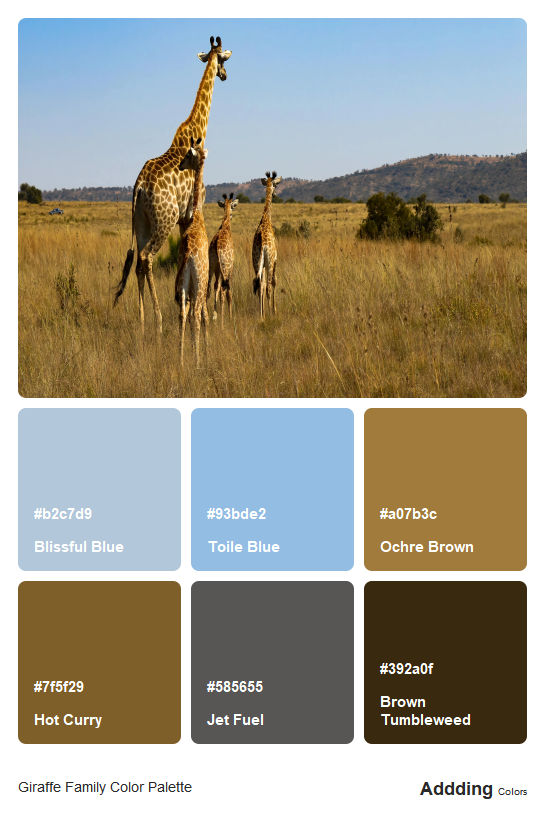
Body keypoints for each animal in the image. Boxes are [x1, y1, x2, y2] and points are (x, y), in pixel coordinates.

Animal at [113, 36, 232, 334]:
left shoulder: (182, 218)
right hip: (162, 220)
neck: (198, 130)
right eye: (223, 60)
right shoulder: (190, 211)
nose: (225, 75)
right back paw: (157, 320)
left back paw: (142, 320)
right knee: (146, 258)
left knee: (137, 264)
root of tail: (139, 186)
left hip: (142, 222)